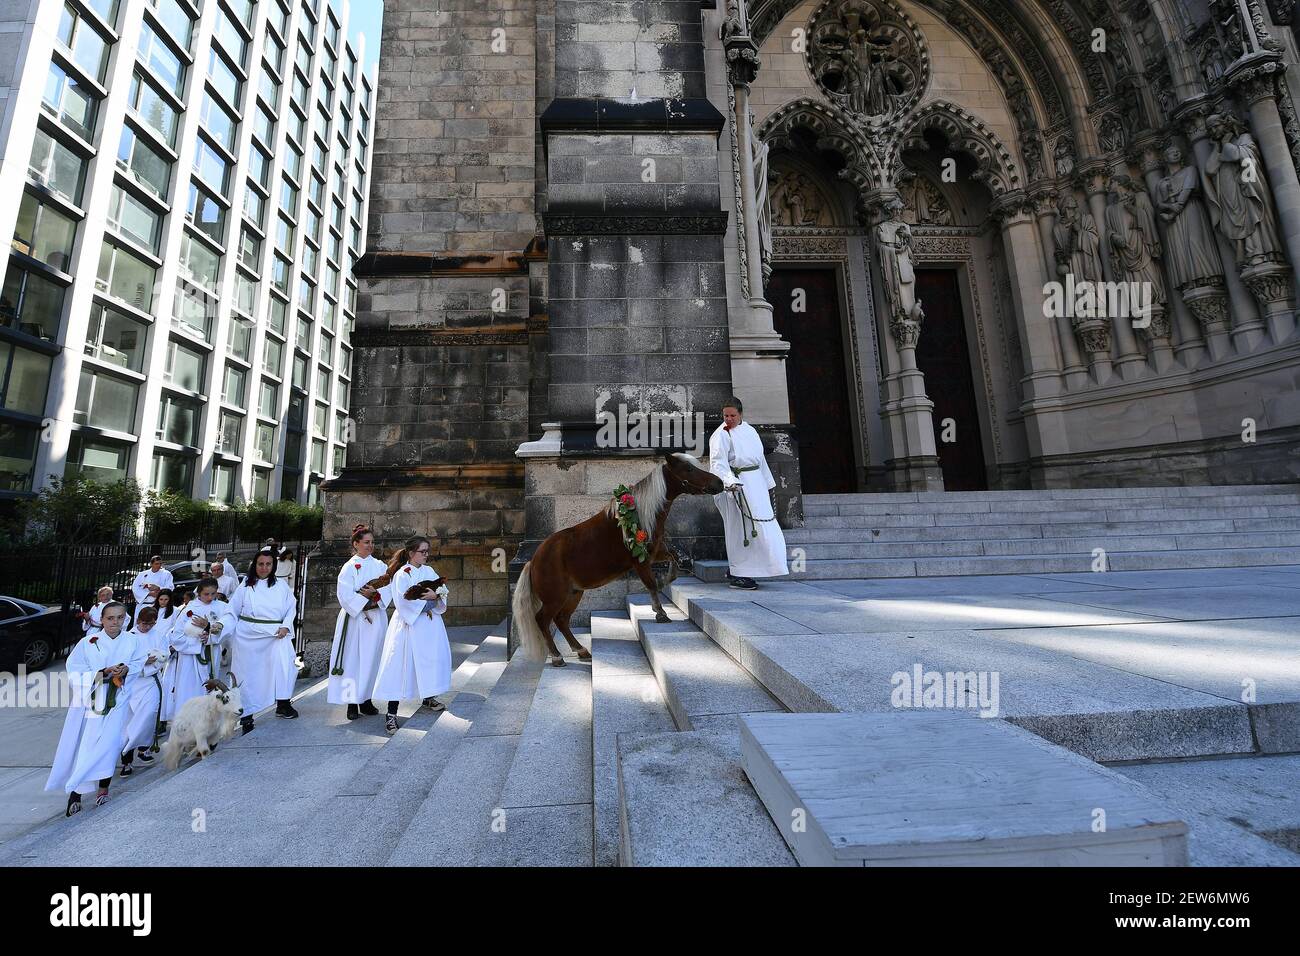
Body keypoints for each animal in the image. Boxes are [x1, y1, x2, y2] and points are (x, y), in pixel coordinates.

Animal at [511, 452, 724, 666]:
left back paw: (581, 650)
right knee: (543, 620)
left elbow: (673, 559)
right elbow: (651, 584)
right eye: (688, 468)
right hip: (555, 598)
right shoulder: (640, 562)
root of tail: (533, 560)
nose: (719, 483)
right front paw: (660, 612)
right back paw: (557, 656)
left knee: (561, 620)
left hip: (573, 593)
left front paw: (667, 581)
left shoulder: (654, 554)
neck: (639, 515)